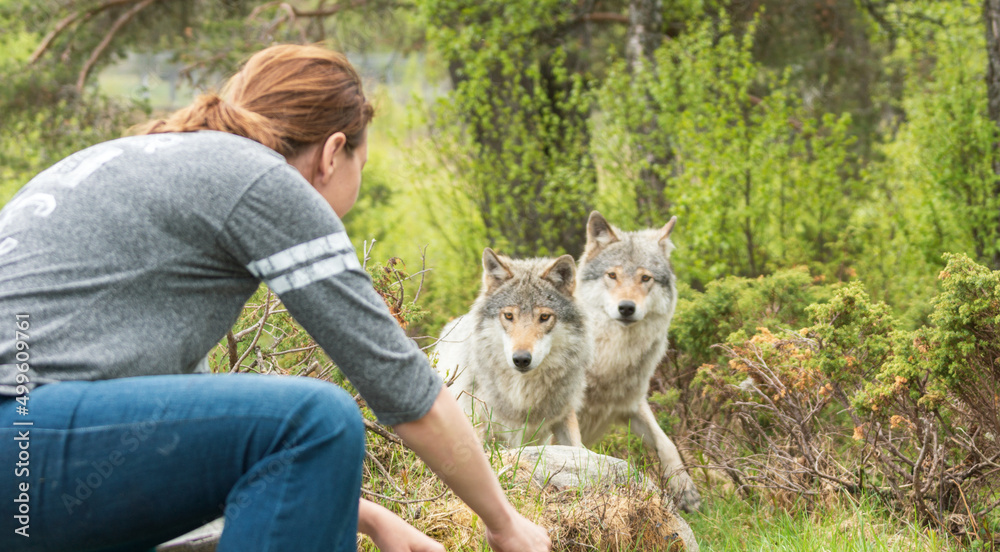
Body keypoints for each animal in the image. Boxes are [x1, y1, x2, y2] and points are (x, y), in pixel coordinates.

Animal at [433, 248, 591, 448]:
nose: (521, 359)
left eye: (544, 317)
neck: (522, 395)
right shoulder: (477, 422)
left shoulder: (565, 415)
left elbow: (576, 447)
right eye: (509, 316)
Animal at [575, 211, 702, 512]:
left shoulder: (631, 405)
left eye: (646, 278)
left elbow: (667, 444)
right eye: (612, 275)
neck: (609, 358)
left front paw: (686, 491)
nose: (626, 307)